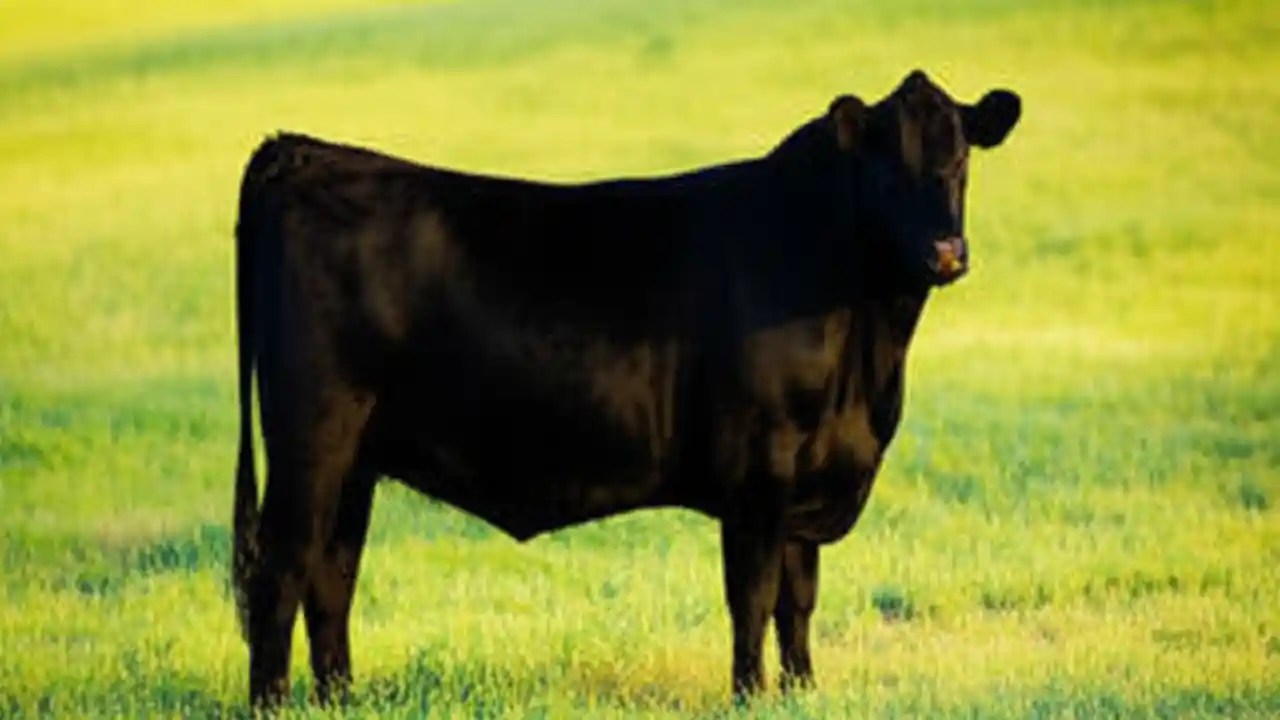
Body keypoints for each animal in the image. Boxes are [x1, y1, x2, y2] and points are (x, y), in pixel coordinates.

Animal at [231, 69, 1020, 707]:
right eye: (889, 171)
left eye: (960, 161)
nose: (947, 252)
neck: (864, 366)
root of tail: (303, 151)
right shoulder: (758, 470)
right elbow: (754, 596)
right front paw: (750, 695)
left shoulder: (812, 470)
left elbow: (798, 600)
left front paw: (802, 691)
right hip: (310, 442)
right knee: (281, 574)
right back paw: (273, 704)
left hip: (356, 458)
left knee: (331, 576)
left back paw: (339, 699)